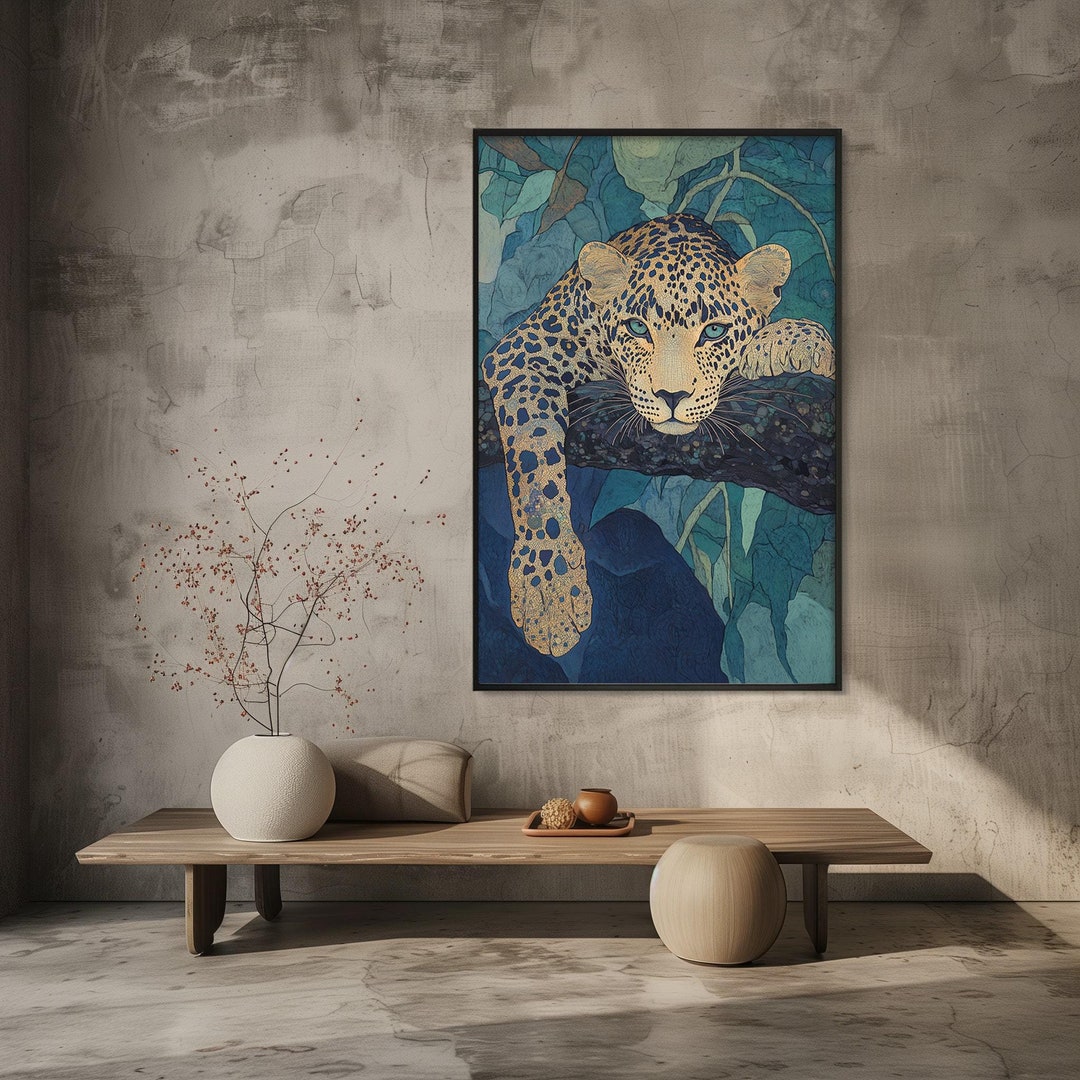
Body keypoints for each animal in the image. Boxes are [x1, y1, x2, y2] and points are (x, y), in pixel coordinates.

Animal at [482, 212, 834, 657]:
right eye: (636, 327)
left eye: (714, 332)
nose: (671, 395)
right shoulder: (523, 351)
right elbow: (534, 464)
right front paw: (549, 590)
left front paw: (794, 341)